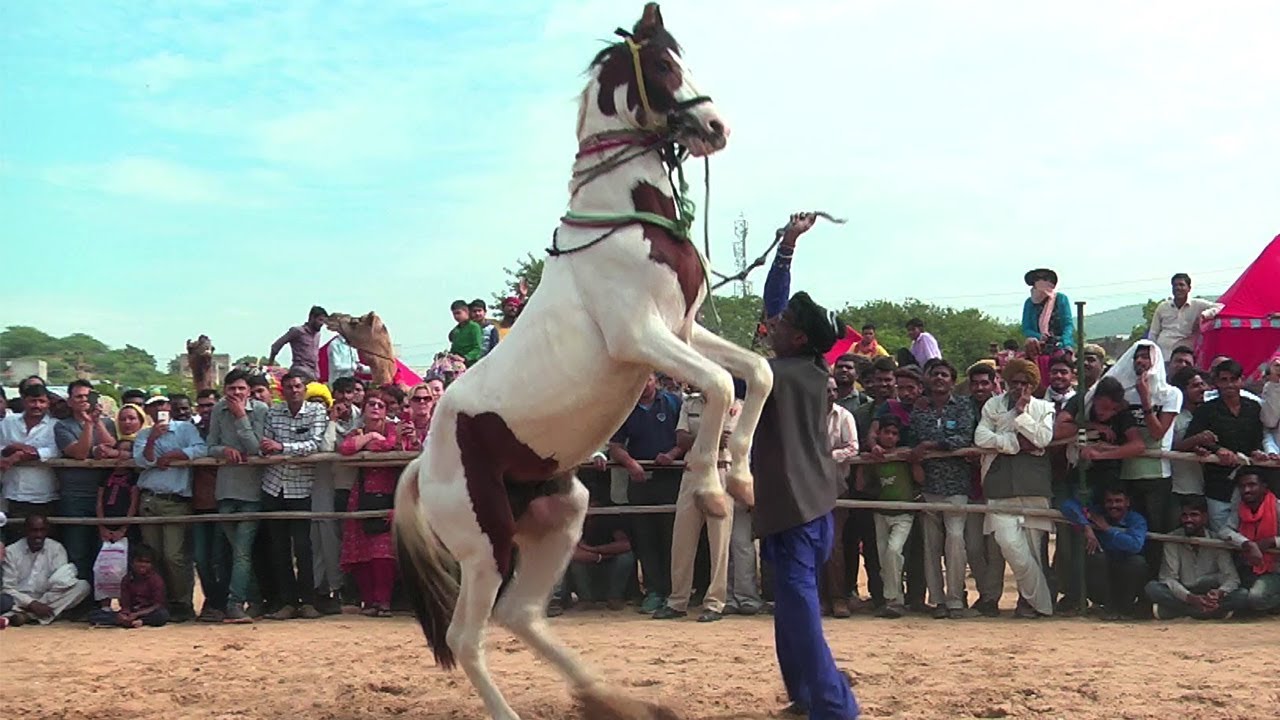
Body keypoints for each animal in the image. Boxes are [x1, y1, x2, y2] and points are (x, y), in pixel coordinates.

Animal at [393, 4, 773, 718]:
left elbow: (753, 374)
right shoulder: (640, 337)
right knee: (467, 637)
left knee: (521, 615)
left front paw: (740, 478)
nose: (716, 128)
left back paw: (606, 695)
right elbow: (716, 384)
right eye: (663, 65)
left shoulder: (684, 328)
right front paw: (711, 490)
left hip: (560, 515)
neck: (628, 222)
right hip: (485, 547)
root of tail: (420, 469)